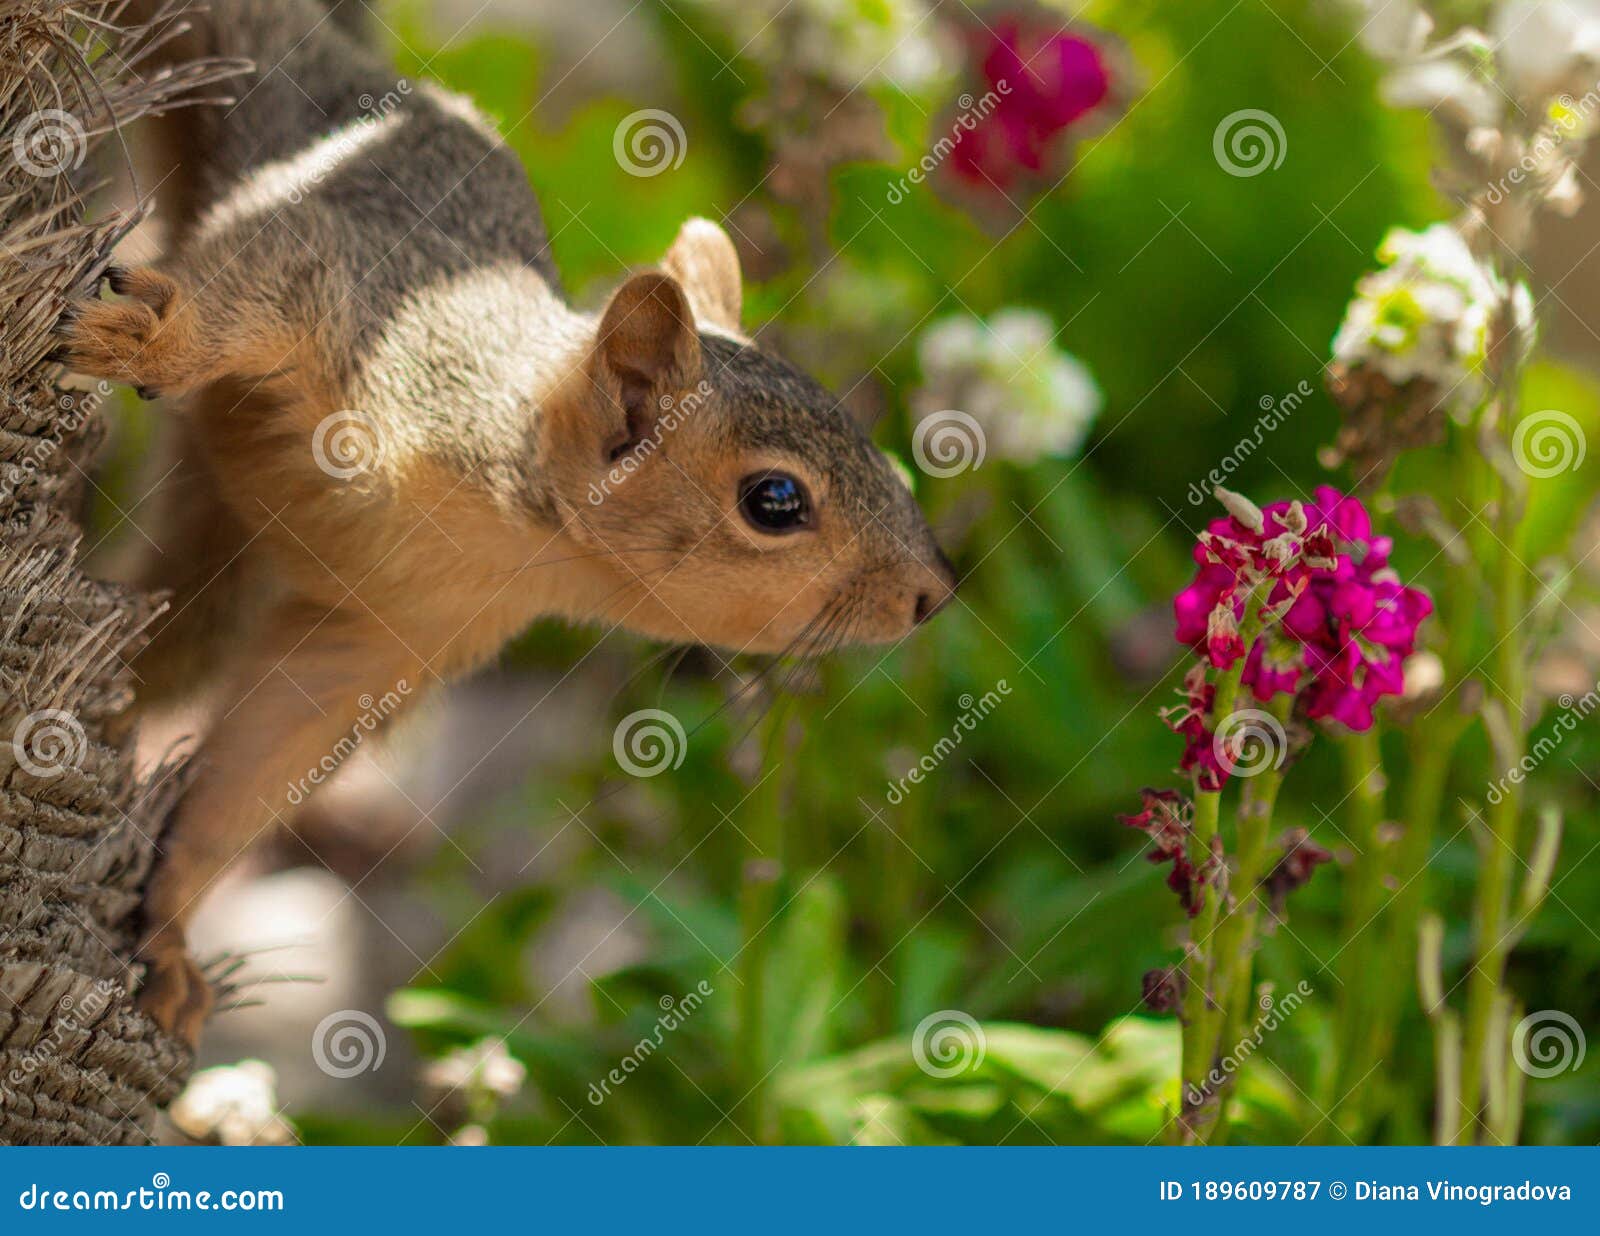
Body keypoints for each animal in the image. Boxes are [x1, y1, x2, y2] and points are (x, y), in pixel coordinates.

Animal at [51, 0, 956, 1046]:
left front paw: (166, 930)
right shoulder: (366, 303)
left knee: (178, 637)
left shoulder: (392, 635)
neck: (521, 536)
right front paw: (150, 340)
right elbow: (259, 283)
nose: (935, 593)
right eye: (775, 502)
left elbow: (268, 751)